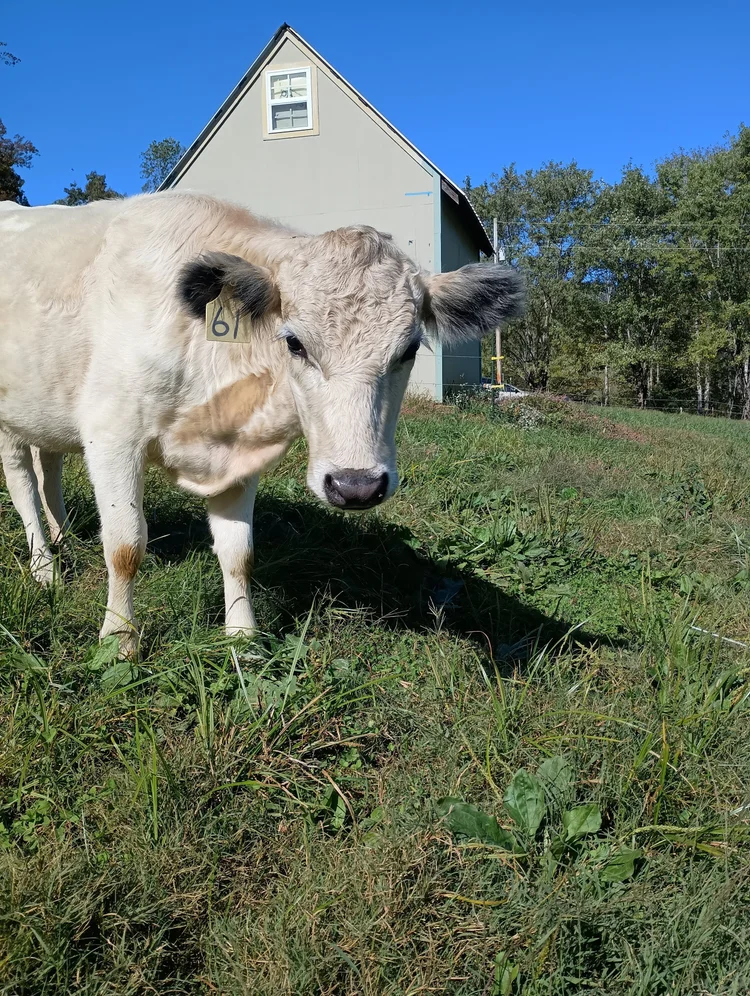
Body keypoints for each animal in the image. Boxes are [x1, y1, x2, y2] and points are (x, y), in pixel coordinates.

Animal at [0, 191, 523, 655]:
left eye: (410, 348)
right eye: (294, 343)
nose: (355, 486)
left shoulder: (239, 454)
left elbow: (239, 552)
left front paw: (242, 635)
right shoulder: (112, 433)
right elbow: (126, 546)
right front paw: (120, 642)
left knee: (49, 470)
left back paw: (65, 538)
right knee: (24, 487)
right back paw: (45, 568)